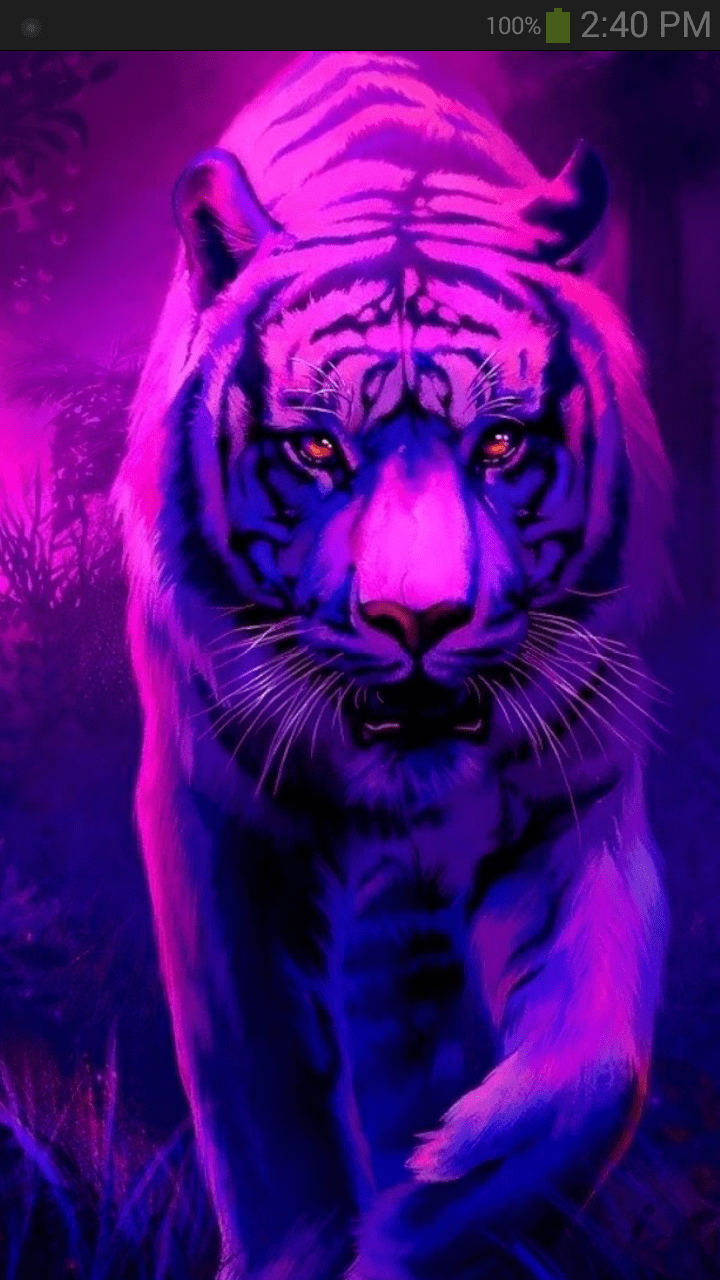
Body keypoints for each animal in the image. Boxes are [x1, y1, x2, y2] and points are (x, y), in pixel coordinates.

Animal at [114, 50, 673, 1280]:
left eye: (500, 442)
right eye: (318, 448)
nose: (417, 618)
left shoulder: (580, 799)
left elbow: (596, 1066)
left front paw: (431, 1200)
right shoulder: (216, 819)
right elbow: (263, 1098)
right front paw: (316, 1245)